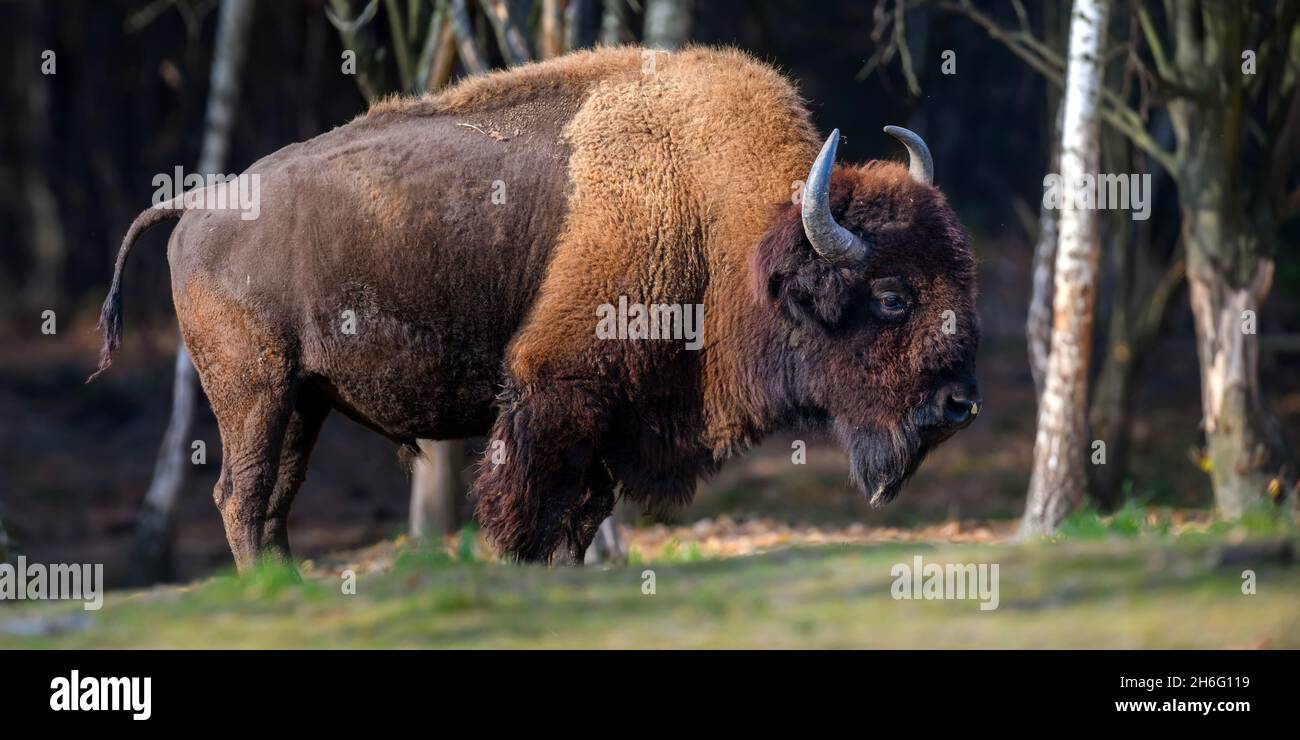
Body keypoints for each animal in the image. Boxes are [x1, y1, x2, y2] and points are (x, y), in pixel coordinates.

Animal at [91, 46, 980, 569]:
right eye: (893, 296)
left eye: (960, 279)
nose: (959, 406)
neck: (719, 215)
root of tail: (196, 204)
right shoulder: (556, 394)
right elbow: (532, 508)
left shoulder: (615, 420)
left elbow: (579, 517)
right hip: (255, 392)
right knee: (240, 498)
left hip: (303, 401)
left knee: (273, 502)